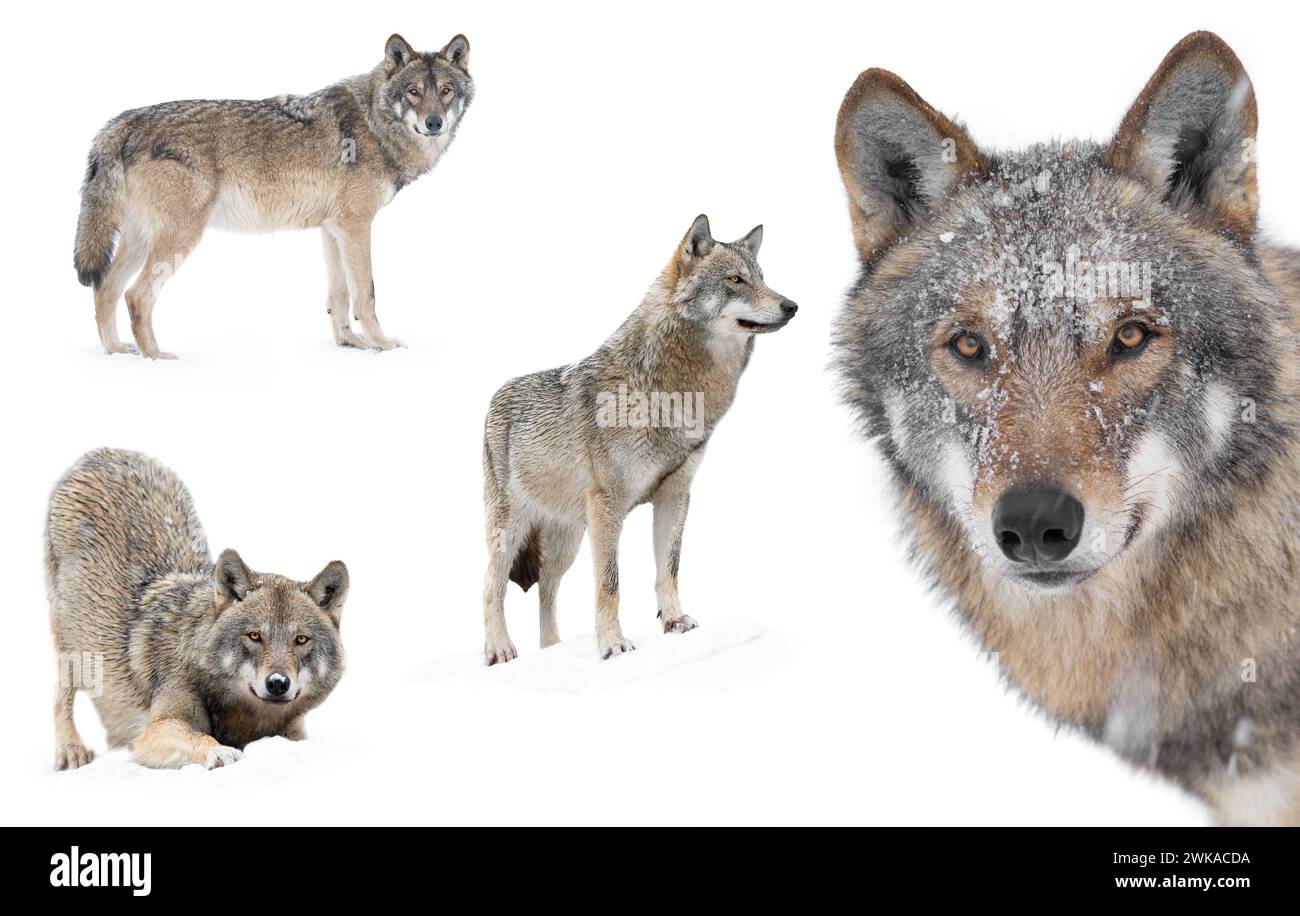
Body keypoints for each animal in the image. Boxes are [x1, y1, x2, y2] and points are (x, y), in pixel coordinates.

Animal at [46, 448, 350, 770]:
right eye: (254, 636)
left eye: (301, 639)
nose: (278, 683)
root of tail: (107, 452)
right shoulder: (157, 729)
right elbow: (199, 737)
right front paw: (224, 753)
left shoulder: (294, 730)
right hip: (71, 646)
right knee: (62, 695)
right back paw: (71, 751)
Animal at [73, 33, 472, 357]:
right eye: (414, 92)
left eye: (446, 91)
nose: (434, 123)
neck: (376, 124)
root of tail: (123, 122)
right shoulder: (357, 225)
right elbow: (366, 294)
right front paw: (383, 345)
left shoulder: (334, 229)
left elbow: (339, 296)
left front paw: (349, 343)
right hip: (180, 237)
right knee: (135, 295)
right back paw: (156, 358)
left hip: (142, 239)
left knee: (105, 288)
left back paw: (116, 350)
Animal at [481, 215, 797, 663]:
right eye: (735, 280)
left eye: (762, 279)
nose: (792, 305)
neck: (676, 393)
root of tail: (495, 396)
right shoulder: (608, 507)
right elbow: (609, 584)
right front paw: (613, 645)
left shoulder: (675, 494)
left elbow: (669, 568)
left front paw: (675, 621)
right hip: (513, 533)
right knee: (490, 586)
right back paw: (499, 649)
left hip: (566, 544)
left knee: (547, 590)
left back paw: (552, 649)